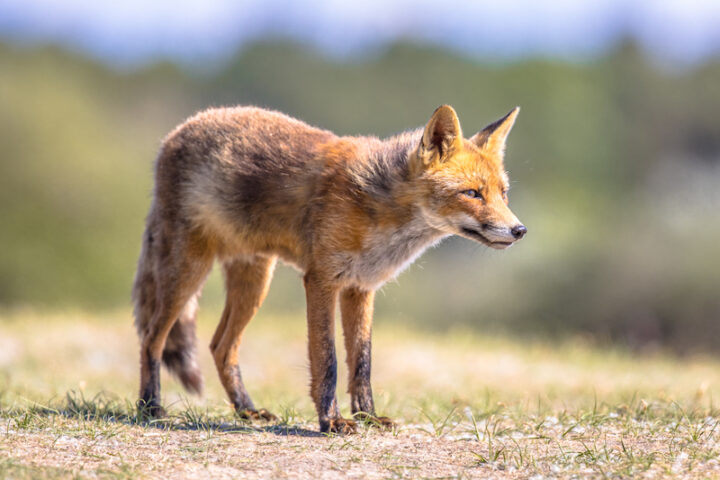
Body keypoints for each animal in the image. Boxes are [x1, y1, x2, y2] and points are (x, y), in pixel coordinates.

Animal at [132, 104, 526, 433]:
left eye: (503, 193)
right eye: (472, 194)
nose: (519, 230)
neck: (379, 206)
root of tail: (178, 130)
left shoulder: (360, 288)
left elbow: (362, 363)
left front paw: (368, 417)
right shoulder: (321, 280)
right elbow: (328, 359)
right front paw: (331, 421)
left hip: (255, 281)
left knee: (220, 346)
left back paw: (247, 410)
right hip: (188, 270)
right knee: (152, 337)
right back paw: (150, 406)